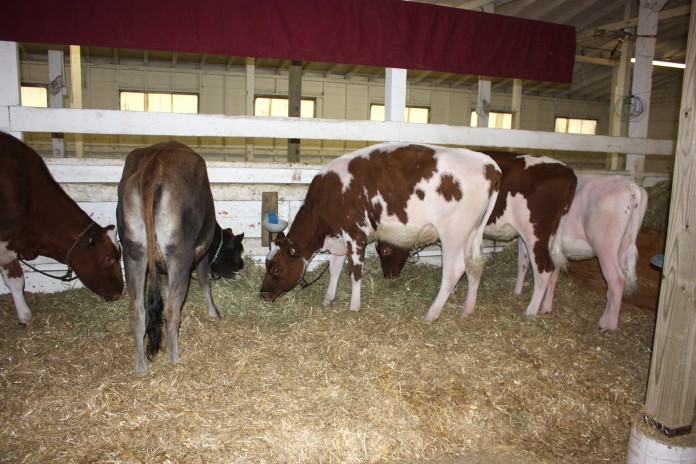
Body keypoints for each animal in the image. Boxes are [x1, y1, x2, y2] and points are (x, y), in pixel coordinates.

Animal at [117, 141, 245, 376]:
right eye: (237, 251)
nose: (242, 269)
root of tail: (154, 164)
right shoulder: (201, 252)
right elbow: (204, 282)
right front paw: (214, 313)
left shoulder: (162, 269)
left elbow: (166, 290)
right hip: (180, 255)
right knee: (170, 311)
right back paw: (174, 359)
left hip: (133, 252)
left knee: (137, 310)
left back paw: (141, 367)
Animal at [259, 142, 501, 322]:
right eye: (267, 264)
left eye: (277, 269)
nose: (262, 294)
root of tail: (488, 163)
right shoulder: (340, 238)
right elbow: (334, 269)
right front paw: (328, 299)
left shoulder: (355, 233)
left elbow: (355, 272)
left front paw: (354, 307)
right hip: (472, 233)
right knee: (474, 266)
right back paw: (467, 310)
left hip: (453, 233)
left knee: (454, 270)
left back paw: (432, 313)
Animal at [377, 152, 577, 318]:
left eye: (385, 251)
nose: (388, 276)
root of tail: (566, 169)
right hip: (547, 233)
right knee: (543, 264)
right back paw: (542, 305)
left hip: (535, 231)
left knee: (544, 268)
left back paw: (531, 311)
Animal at [514, 175, 648, 330]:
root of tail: (631, 186)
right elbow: (553, 274)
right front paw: (546, 307)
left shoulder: (527, 237)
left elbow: (523, 262)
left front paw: (517, 292)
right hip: (624, 245)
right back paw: (606, 318)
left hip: (604, 245)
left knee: (616, 280)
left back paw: (608, 325)